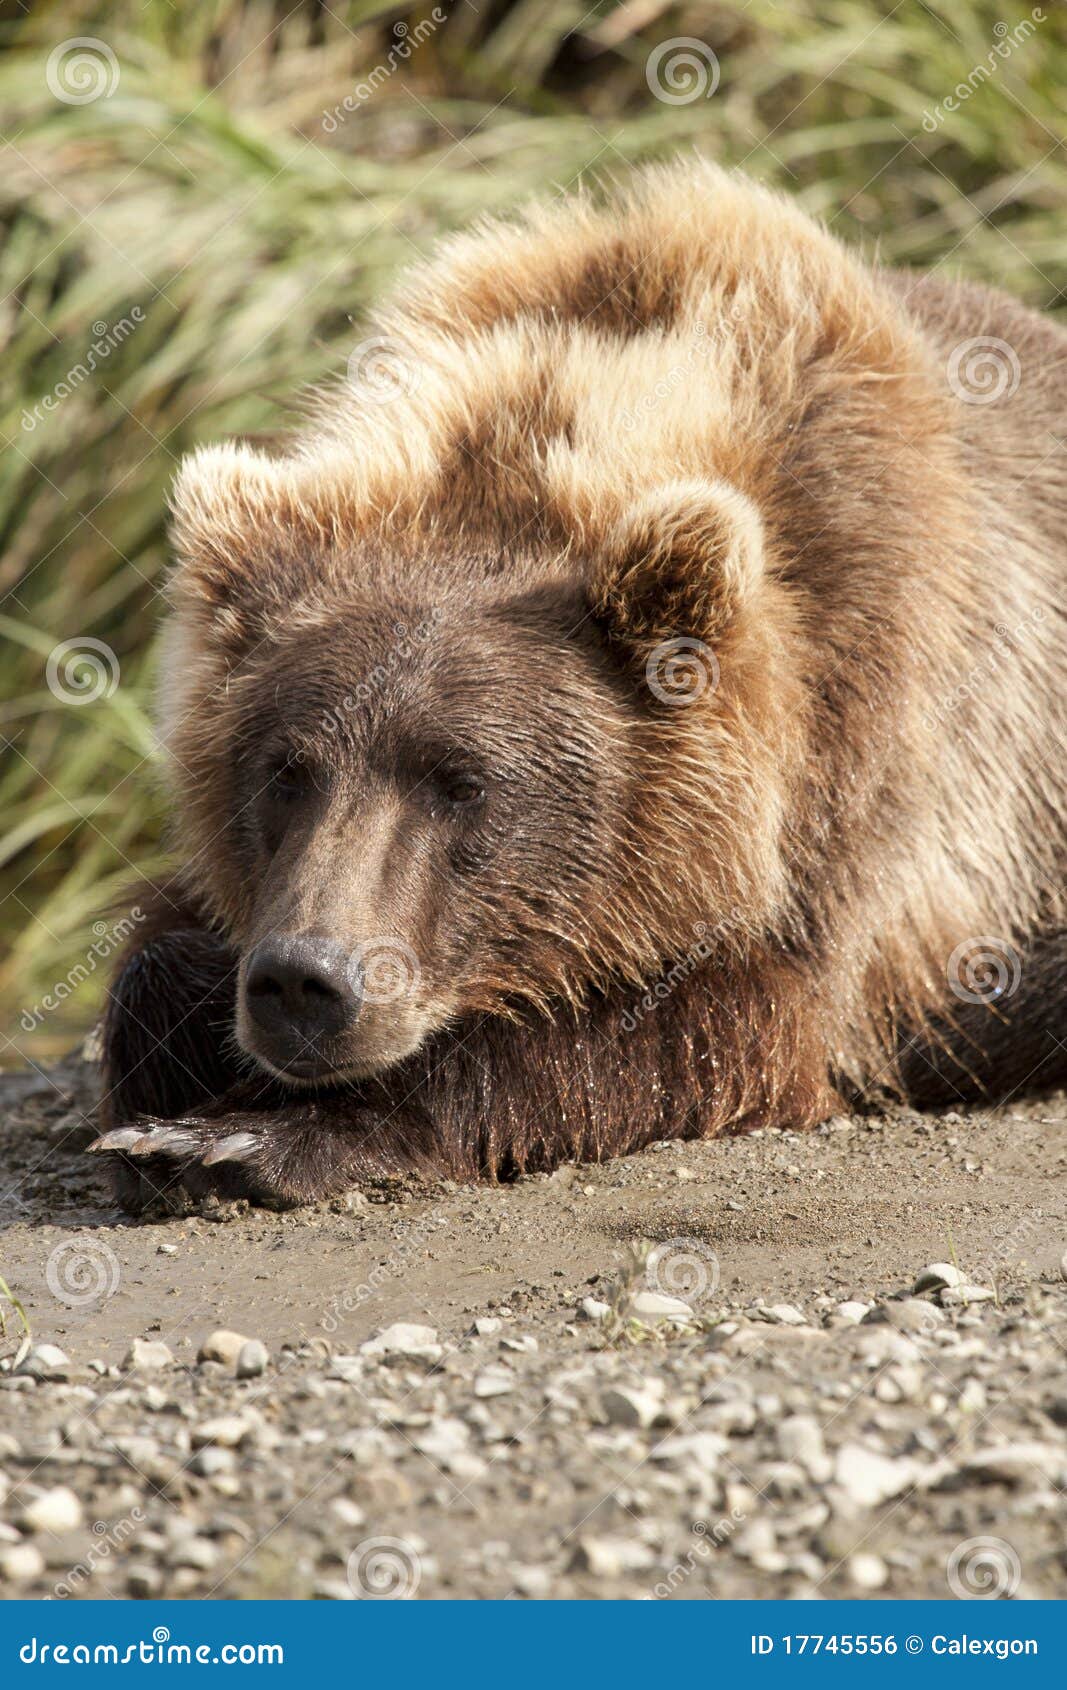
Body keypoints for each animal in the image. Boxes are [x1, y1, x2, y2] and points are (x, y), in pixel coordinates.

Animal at [92, 159, 1067, 1211]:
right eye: (283, 771)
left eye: (461, 782)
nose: (305, 983)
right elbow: (161, 953)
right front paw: (175, 1068)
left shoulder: (868, 775)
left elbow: (708, 1026)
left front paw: (241, 1139)